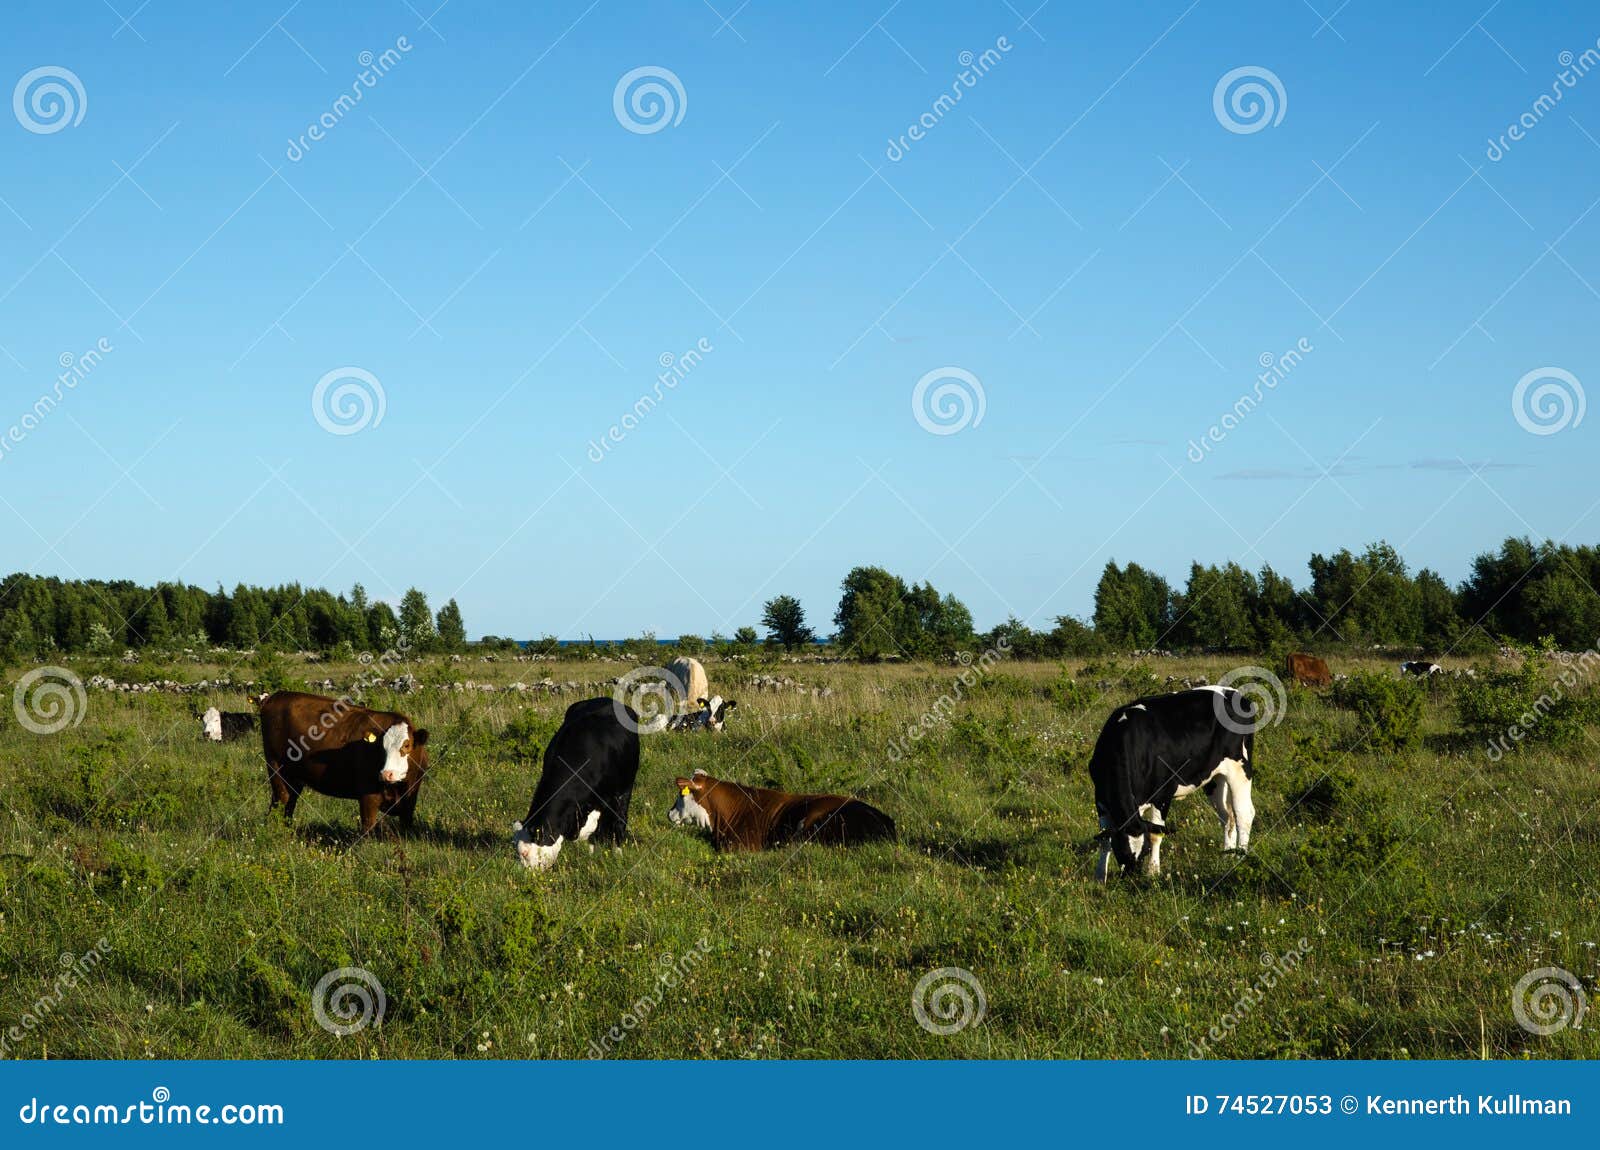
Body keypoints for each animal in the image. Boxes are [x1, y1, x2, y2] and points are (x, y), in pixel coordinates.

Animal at [258, 690, 429, 833]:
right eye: (382, 747)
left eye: (406, 745)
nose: (387, 774)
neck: (398, 788)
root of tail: (276, 696)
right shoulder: (368, 798)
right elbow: (368, 829)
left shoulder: (410, 802)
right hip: (276, 769)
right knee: (281, 801)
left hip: (293, 779)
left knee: (288, 805)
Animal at [513, 696, 641, 870]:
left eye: (525, 853)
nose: (523, 874)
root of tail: (606, 698)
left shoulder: (616, 795)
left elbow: (616, 824)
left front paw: (617, 855)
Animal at [1088, 686, 1257, 881]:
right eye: (1121, 851)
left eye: (1144, 852)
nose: (1133, 879)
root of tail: (1236, 694)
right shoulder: (1100, 798)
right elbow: (1104, 839)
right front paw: (1100, 876)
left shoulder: (1163, 795)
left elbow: (1156, 834)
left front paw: (1153, 871)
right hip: (1215, 778)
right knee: (1226, 817)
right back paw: (1227, 855)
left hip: (1240, 769)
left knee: (1243, 815)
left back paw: (1240, 858)